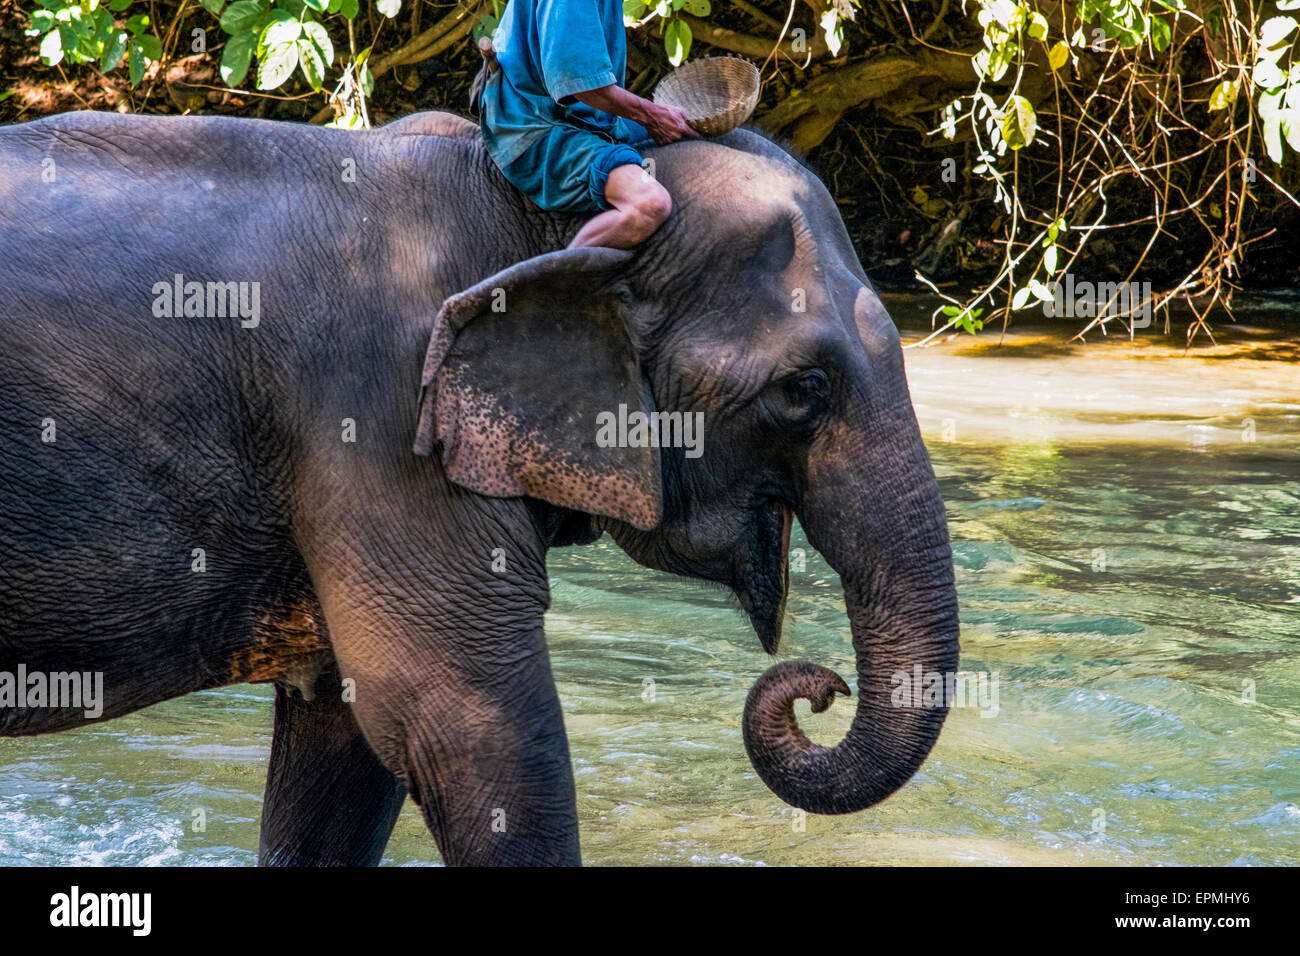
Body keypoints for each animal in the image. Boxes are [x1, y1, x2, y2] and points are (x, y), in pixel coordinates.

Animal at [0, 108, 960, 866]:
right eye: (806, 389)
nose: (820, 688)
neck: (498, 200)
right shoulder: (376, 415)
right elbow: (462, 720)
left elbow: (347, 740)